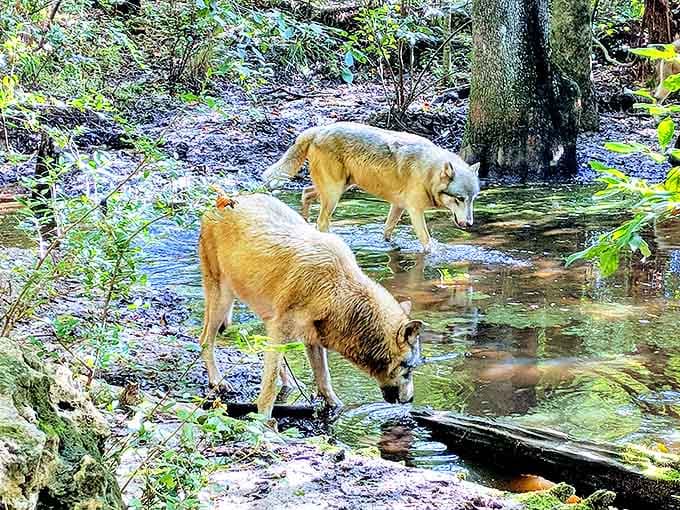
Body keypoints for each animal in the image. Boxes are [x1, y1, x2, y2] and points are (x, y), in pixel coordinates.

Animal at [198, 192, 423, 419]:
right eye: (409, 369)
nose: (411, 400)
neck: (339, 293)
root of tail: (221, 202)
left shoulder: (311, 338)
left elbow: (324, 379)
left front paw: (337, 408)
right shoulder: (284, 330)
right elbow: (269, 387)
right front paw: (263, 421)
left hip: (265, 315)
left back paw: (290, 382)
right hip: (222, 301)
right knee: (205, 340)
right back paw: (217, 381)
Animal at [262, 122, 481, 252]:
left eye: (472, 200)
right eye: (459, 199)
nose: (470, 224)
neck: (428, 172)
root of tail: (317, 130)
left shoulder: (398, 206)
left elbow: (387, 231)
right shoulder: (415, 211)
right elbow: (427, 242)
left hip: (339, 188)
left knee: (305, 193)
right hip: (334, 194)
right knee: (322, 222)